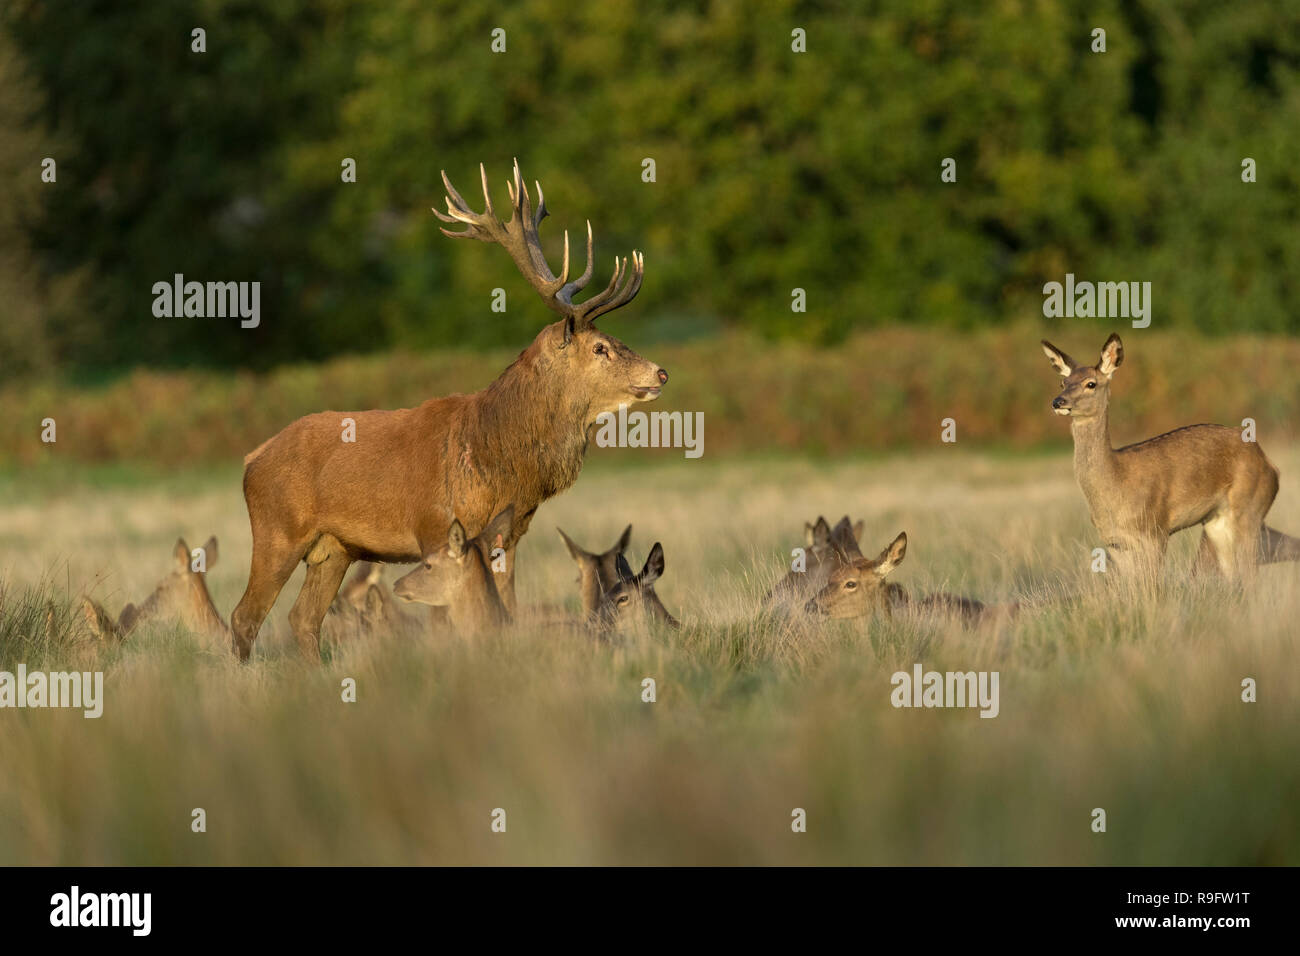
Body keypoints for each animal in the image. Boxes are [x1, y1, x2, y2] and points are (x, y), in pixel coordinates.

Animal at [230, 160, 668, 661]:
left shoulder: (509, 535)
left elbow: (506, 610)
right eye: (600, 348)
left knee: (303, 618)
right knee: (245, 617)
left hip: (335, 549)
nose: (660, 373)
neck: (496, 457)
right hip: (276, 531)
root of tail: (251, 460)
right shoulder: (435, 528)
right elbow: (444, 620)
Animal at [1041, 333, 1300, 583]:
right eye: (1063, 382)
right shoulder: (1115, 543)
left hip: (1249, 509)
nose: (1058, 401)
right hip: (1219, 524)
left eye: (1091, 384)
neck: (1116, 486)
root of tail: (1270, 465)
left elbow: (1154, 588)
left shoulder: (1155, 530)